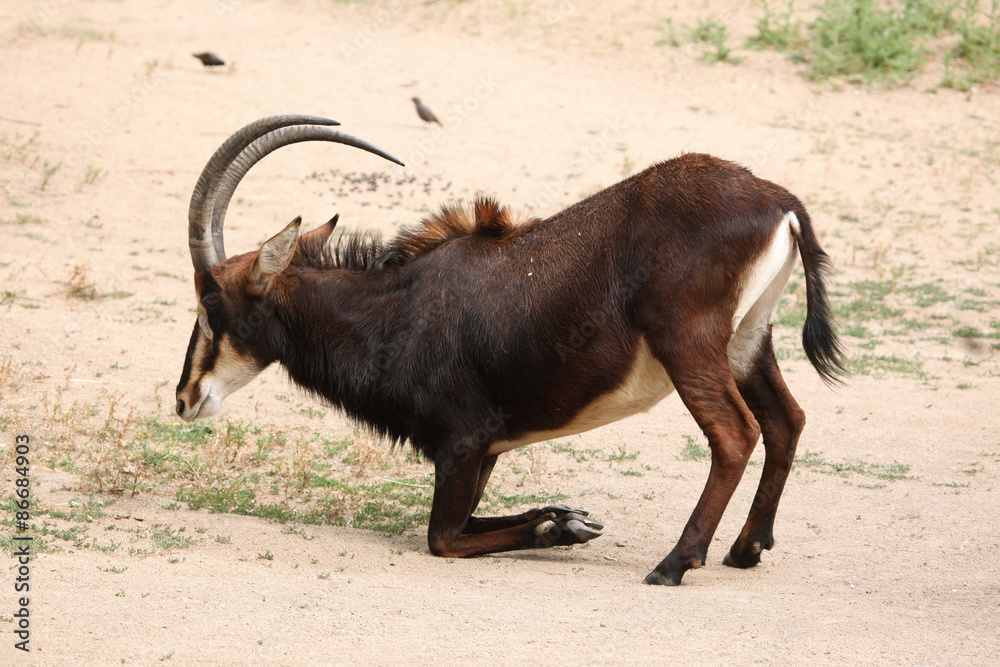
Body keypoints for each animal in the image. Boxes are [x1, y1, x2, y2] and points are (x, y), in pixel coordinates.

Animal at [175, 115, 845, 586]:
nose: (184, 399)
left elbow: (443, 537)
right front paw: (565, 519)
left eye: (211, 304)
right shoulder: (487, 453)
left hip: (690, 346)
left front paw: (559, 526)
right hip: (747, 341)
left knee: (735, 433)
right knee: (786, 420)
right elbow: (479, 518)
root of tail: (778, 201)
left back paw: (675, 562)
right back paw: (746, 549)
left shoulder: (461, 445)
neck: (396, 310)